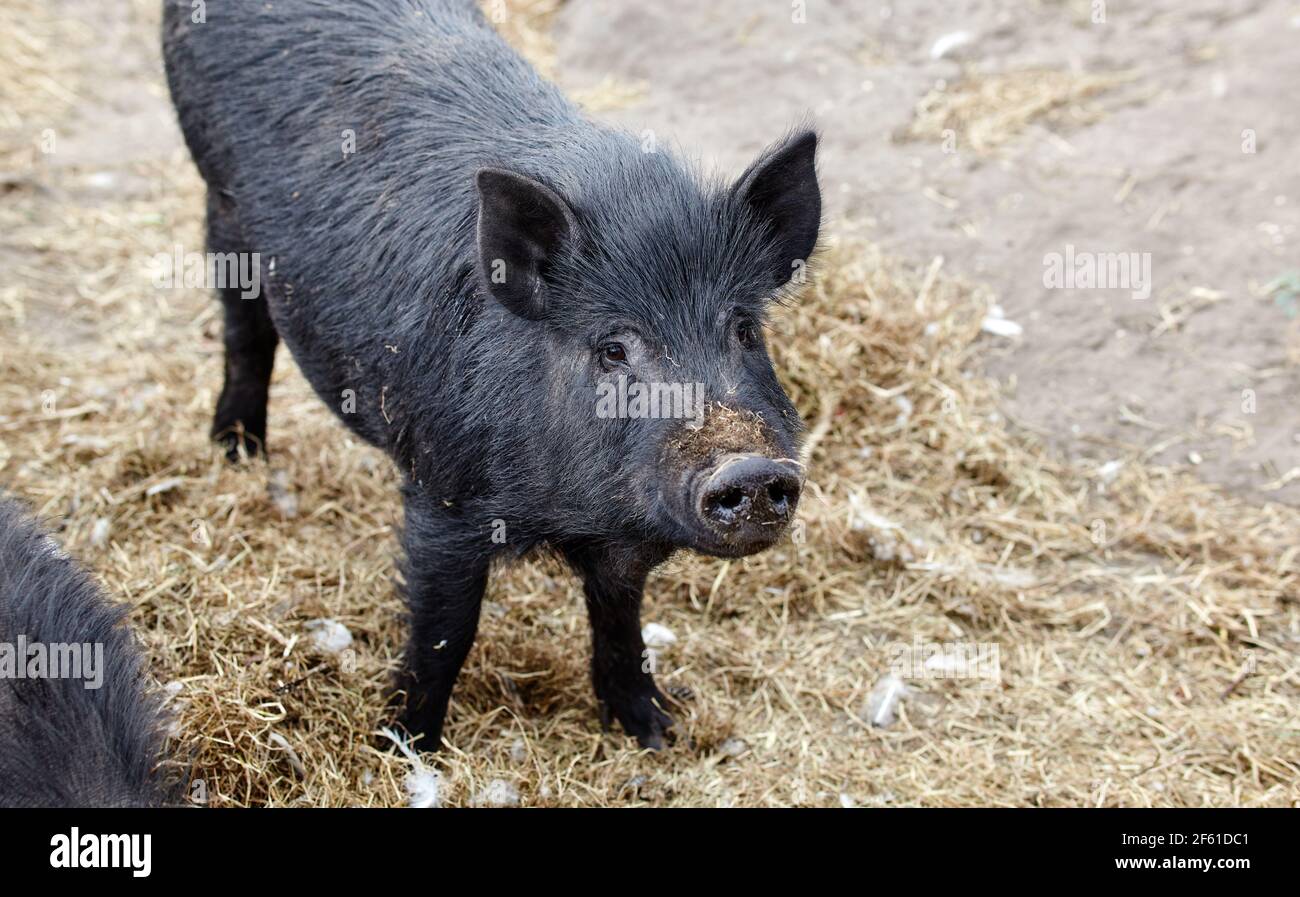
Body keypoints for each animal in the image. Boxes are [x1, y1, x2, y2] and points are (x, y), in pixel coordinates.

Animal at [161, 0, 821, 749]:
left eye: (744, 330)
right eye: (613, 348)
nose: (749, 469)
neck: (571, 514)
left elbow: (621, 617)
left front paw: (657, 733)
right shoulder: (440, 494)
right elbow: (445, 631)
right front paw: (405, 746)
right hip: (221, 200)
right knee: (245, 327)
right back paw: (238, 452)